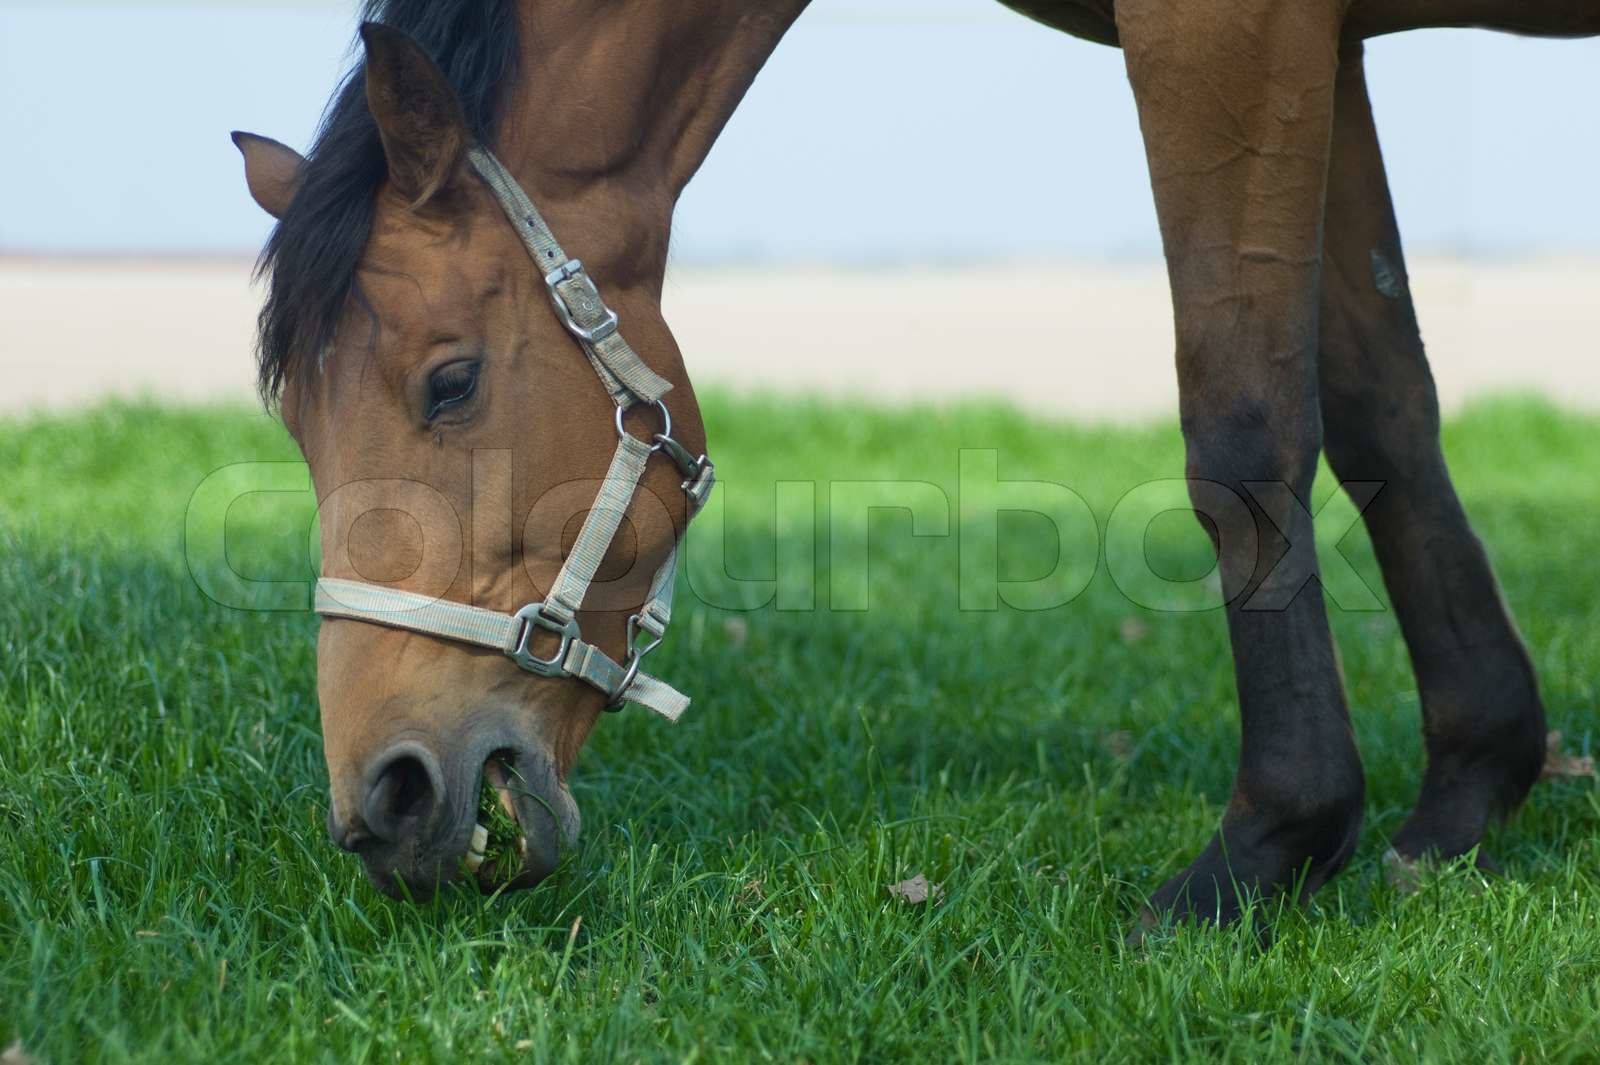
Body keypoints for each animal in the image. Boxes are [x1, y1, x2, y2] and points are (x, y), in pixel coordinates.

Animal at [233, 0, 1598, 928]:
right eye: (294, 423)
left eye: (449, 383)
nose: (385, 801)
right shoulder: (1328, 44)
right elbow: (1381, 409)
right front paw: (1467, 787)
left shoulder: (1233, 28)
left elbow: (1245, 422)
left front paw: (1267, 846)